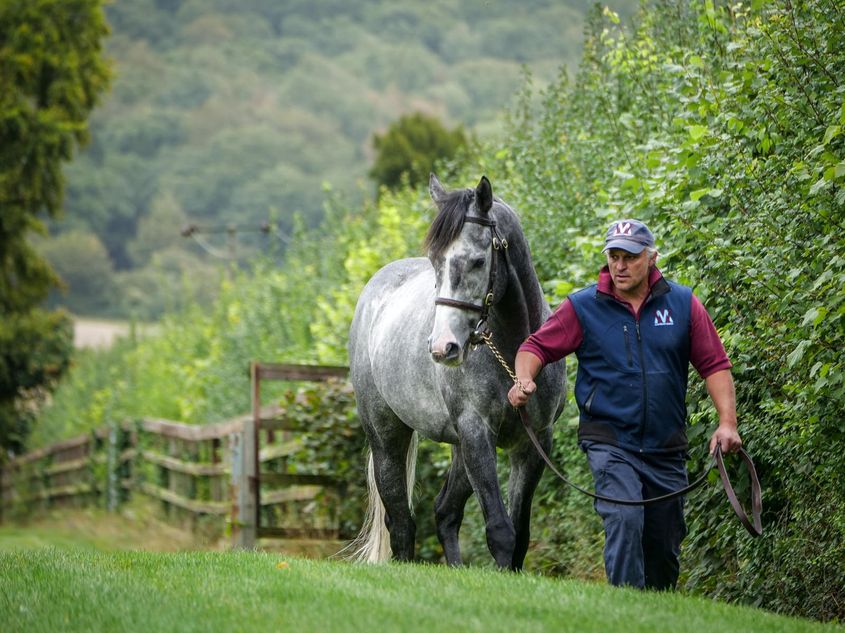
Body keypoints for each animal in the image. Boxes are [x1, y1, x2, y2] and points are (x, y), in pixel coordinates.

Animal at [347, 174, 566, 570]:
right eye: (435, 261)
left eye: (478, 261)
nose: (443, 347)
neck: (514, 353)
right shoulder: (477, 433)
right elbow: (501, 531)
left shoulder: (533, 442)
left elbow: (520, 533)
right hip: (387, 439)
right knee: (401, 524)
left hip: (460, 451)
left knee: (444, 513)